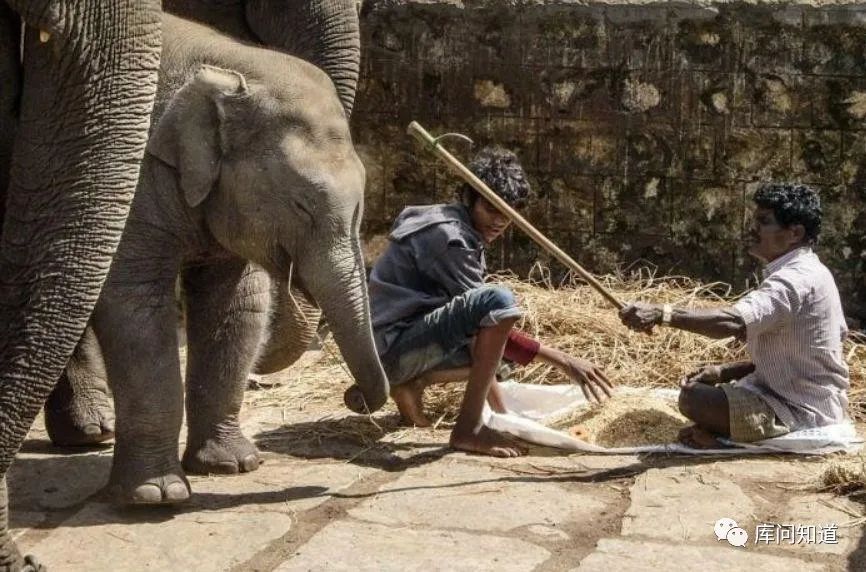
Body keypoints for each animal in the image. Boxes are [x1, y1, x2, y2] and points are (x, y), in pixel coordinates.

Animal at [86, 13, 386, 502]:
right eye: (302, 206)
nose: (354, 396)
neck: (231, 67)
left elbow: (237, 303)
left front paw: (234, 465)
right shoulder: (131, 179)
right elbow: (135, 302)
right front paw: (157, 495)